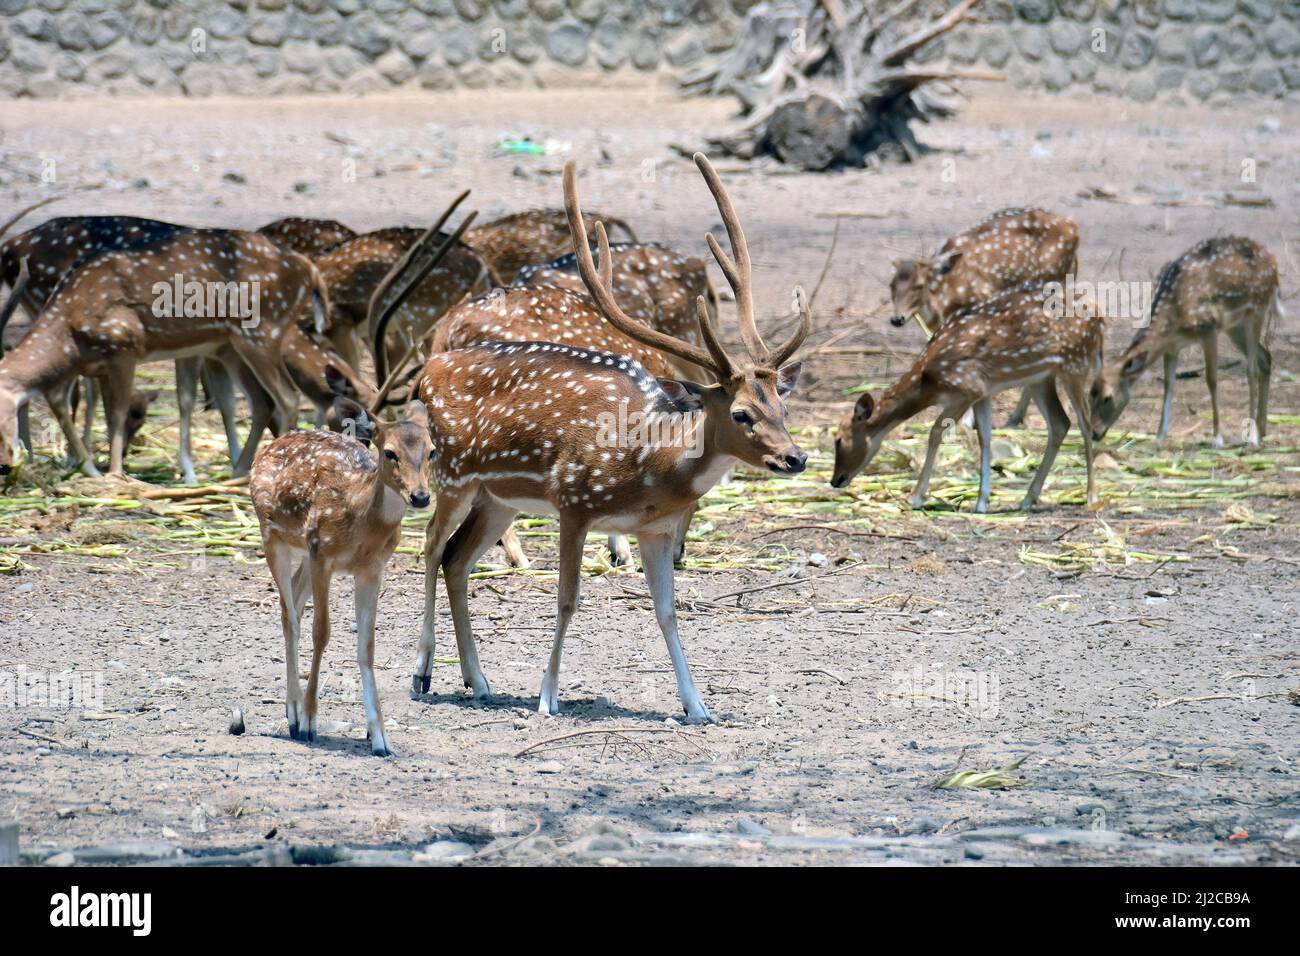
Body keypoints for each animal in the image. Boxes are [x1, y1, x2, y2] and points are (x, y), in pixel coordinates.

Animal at [0, 229, 325, 478]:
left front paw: (114, 474)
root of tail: (310, 270)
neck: (70, 328)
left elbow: (116, 413)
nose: (5, 465)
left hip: (261, 331)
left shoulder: (125, 345)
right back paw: (237, 471)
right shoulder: (97, 363)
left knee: (288, 397)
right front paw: (92, 469)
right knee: (262, 401)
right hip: (232, 346)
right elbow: (80, 405)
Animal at [250, 396, 434, 757]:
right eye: (389, 452)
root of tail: (269, 446)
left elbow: (367, 645)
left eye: (432, 451)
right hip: (273, 534)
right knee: (289, 615)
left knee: (295, 598)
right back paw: (293, 716)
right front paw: (309, 721)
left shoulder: (371, 569)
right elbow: (321, 633)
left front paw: (379, 737)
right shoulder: (323, 555)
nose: (420, 496)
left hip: (305, 554)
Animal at [832, 280, 1104, 513]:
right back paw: (1027, 499)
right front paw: (981, 501)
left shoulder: (968, 387)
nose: (835, 480)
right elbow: (985, 437)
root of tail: (1101, 316)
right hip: (1040, 377)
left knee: (1086, 423)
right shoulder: (984, 392)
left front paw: (916, 497)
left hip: (1076, 363)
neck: (929, 381)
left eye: (838, 440)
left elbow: (935, 432)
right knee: (1060, 423)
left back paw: (1091, 498)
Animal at [888, 207, 1080, 427]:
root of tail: (1074, 228)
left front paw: (967, 420)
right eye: (891, 285)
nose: (897, 319)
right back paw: (1017, 417)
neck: (947, 299)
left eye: (919, 286)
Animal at [1089, 236, 1281, 449]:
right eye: (1090, 395)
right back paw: (1262, 430)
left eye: (1107, 397)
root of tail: (1272, 261)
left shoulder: (1208, 328)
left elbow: (1211, 380)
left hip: (1256, 309)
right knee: (1265, 358)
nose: (1094, 433)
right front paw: (1160, 435)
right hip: (1234, 326)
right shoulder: (1172, 347)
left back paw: (1253, 437)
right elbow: (1169, 384)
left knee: (1252, 369)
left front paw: (1217, 438)